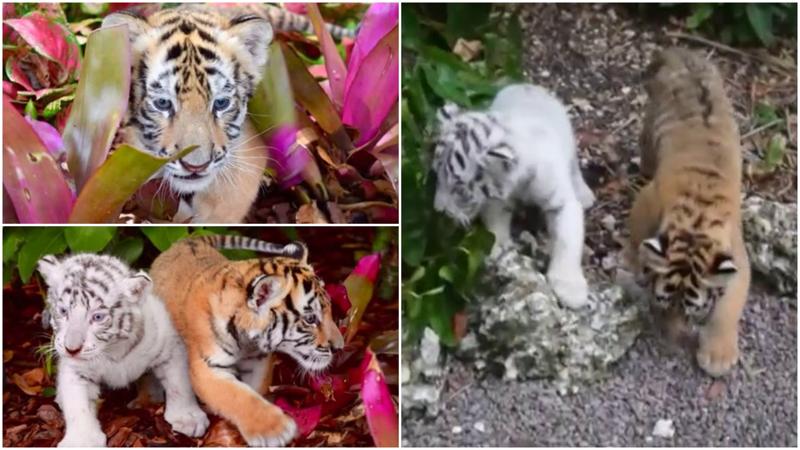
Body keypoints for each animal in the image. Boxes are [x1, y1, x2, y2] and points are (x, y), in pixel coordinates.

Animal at [149, 235, 344, 446]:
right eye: (310, 319)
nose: (339, 348)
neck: (248, 341)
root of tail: (186, 241)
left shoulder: (259, 361)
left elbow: (254, 390)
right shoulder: (207, 367)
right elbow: (238, 396)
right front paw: (276, 430)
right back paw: (187, 418)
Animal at [629, 47, 751, 377]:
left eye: (691, 311)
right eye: (662, 301)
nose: (673, 340)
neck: (697, 221)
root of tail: (684, 53)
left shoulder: (736, 255)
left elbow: (729, 307)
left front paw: (718, 356)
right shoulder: (646, 200)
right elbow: (634, 237)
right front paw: (632, 261)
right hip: (650, 126)